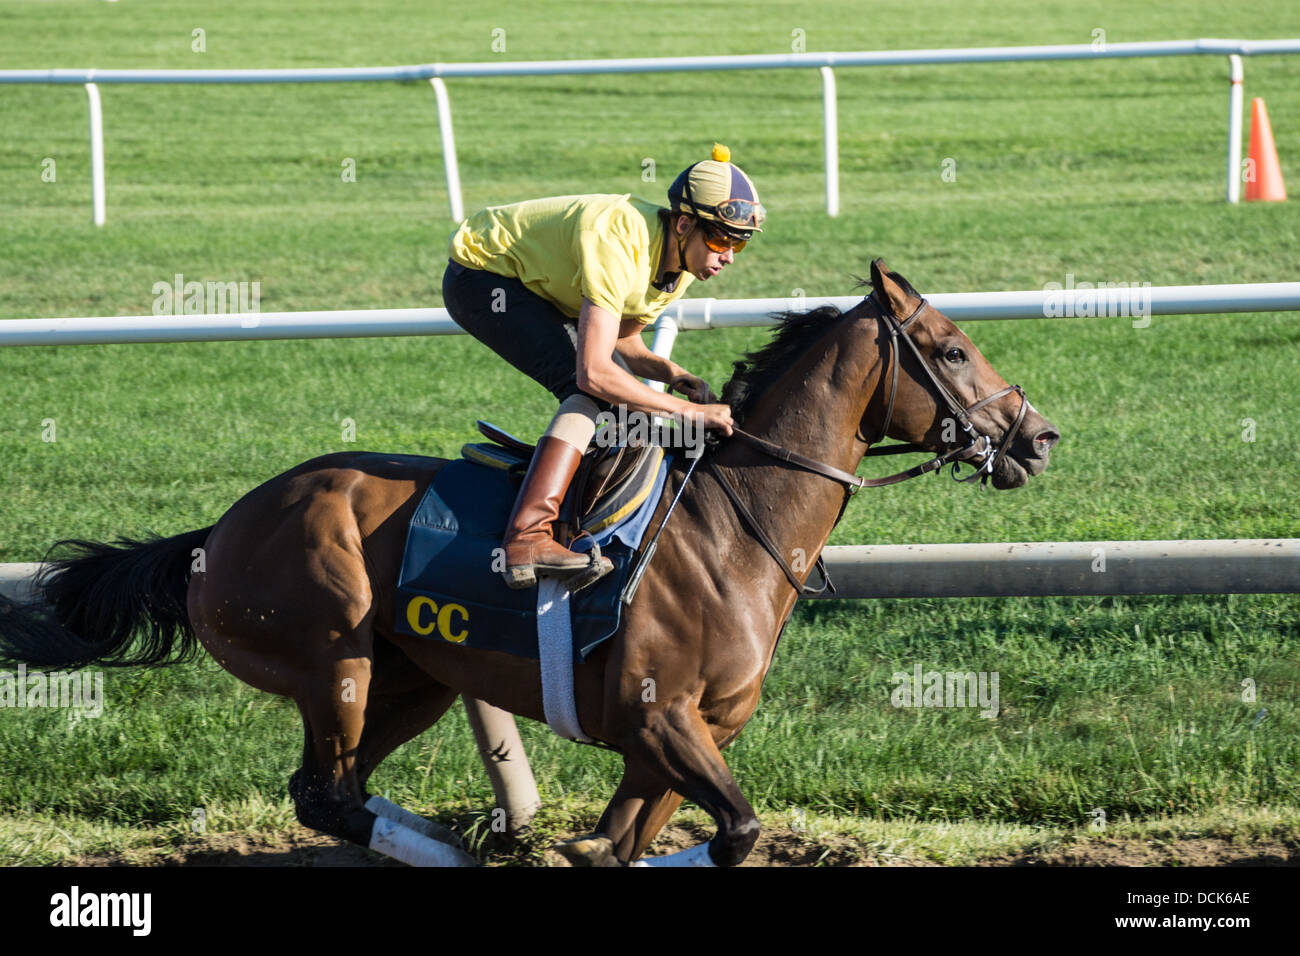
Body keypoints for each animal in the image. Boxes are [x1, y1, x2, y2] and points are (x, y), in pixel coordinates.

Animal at [0, 259, 1060, 866]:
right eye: (951, 350)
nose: (1037, 437)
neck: (734, 530)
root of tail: (218, 532)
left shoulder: (675, 742)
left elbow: (633, 843)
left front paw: (581, 845)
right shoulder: (660, 717)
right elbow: (735, 832)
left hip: (412, 677)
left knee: (333, 795)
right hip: (332, 657)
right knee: (331, 797)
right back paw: (465, 845)